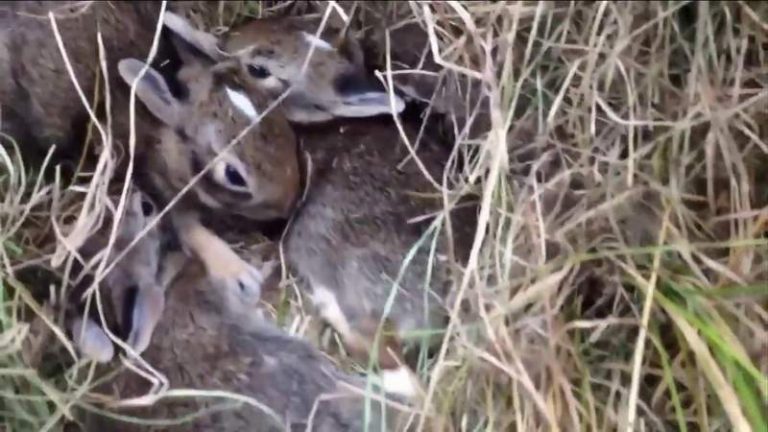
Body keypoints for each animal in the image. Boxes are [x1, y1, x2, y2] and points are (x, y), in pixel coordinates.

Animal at [1, 2, 302, 305]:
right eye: (233, 175)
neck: (166, 141)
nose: (287, 204)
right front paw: (240, 276)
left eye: (271, 110)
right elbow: (188, 229)